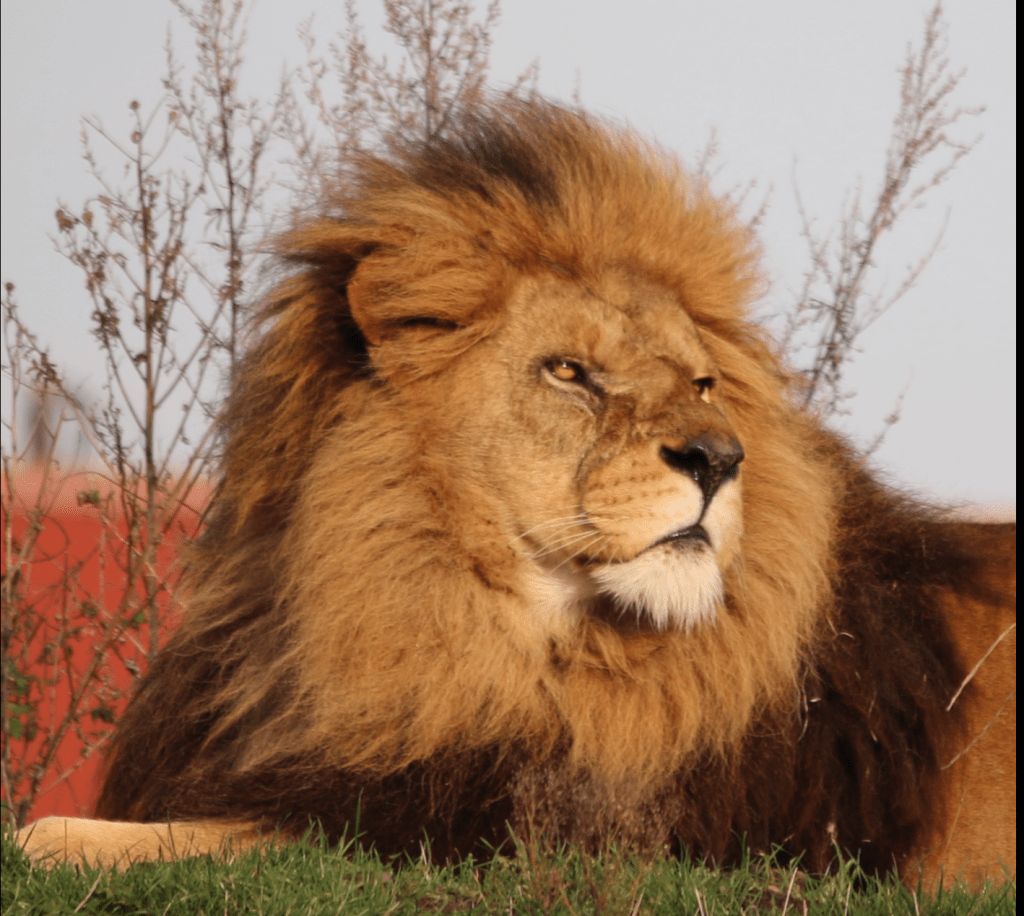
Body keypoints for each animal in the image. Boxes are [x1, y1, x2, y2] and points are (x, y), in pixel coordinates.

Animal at [18, 100, 1015, 891]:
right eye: (569, 372)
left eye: (701, 385)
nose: (719, 459)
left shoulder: (511, 830)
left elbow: (86, 834)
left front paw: (54, 841)